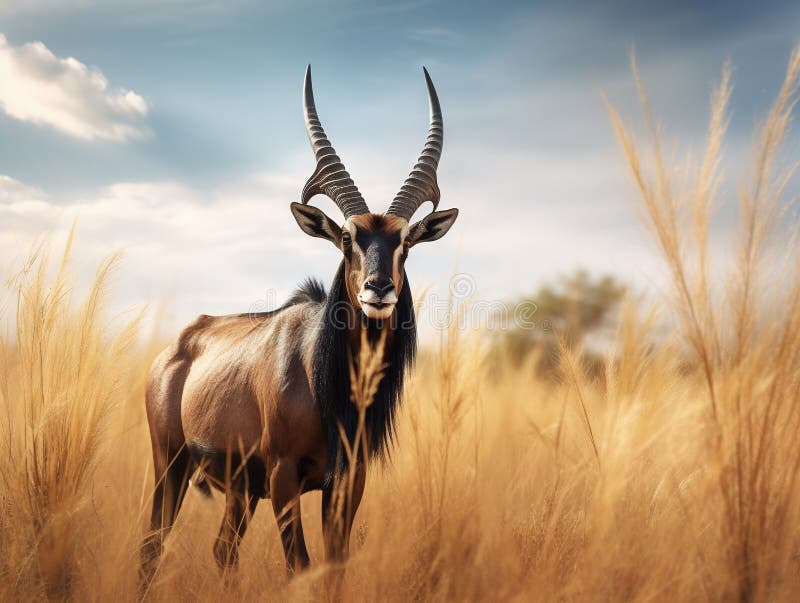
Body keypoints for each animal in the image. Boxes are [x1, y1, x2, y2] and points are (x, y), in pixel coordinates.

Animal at [140, 66, 458, 581]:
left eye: (406, 241)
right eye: (347, 237)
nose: (378, 289)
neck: (323, 377)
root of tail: (178, 347)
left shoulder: (347, 481)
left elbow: (333, 568)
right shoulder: (283, 475)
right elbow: (300, 566)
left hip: (239, 492)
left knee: (222, 551)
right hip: (171, 466)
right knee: (151, 547)